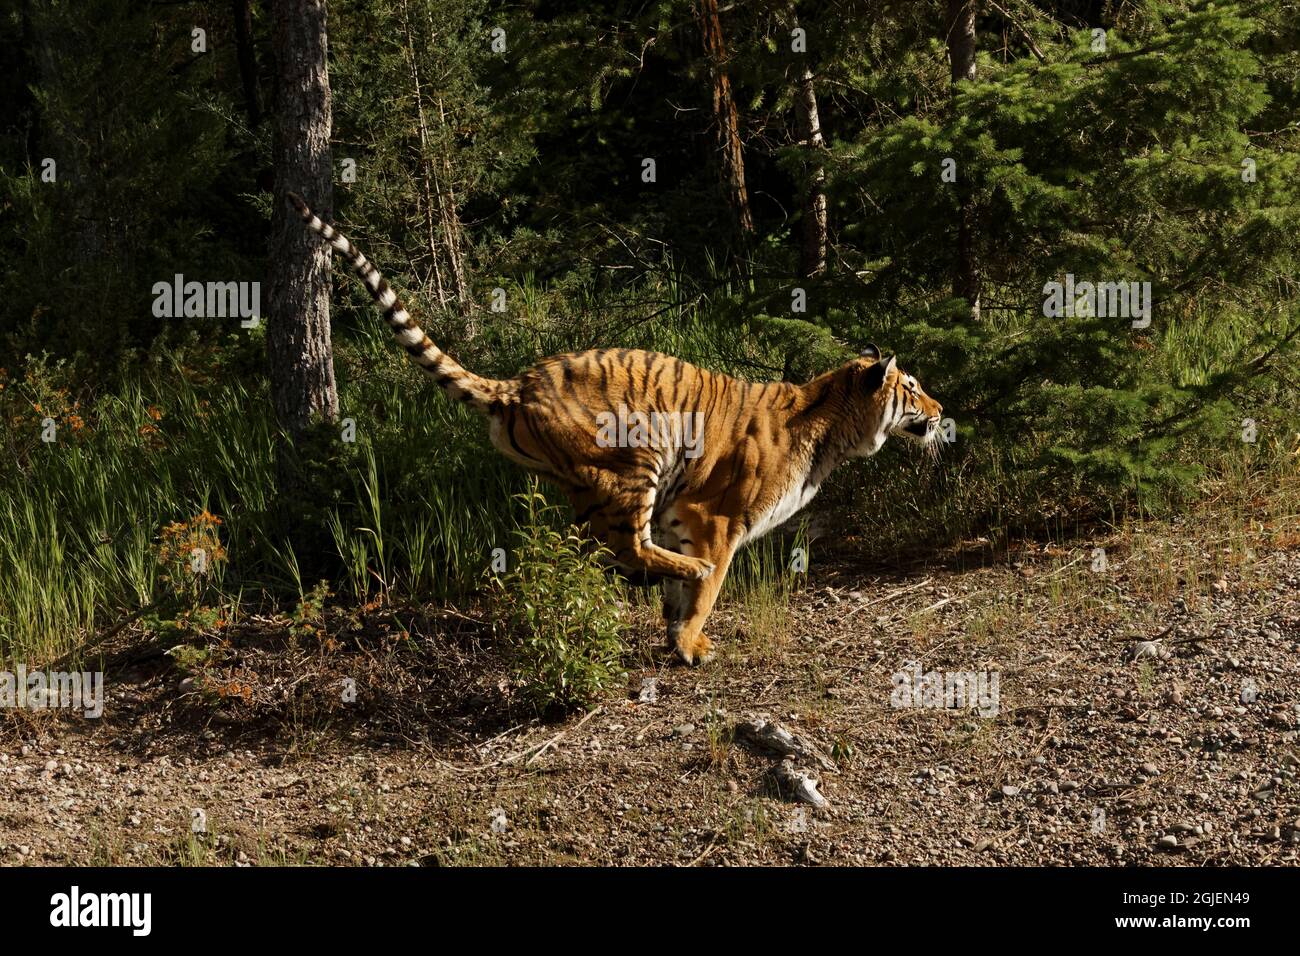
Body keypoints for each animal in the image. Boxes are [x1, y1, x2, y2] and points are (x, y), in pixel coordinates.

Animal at [288, 193, 944, 664]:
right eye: (911, 388)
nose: (942, 413)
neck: (831, 422)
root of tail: (518, 384)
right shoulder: (715, 518)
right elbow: (706, 590)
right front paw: (693, 641)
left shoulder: (684, 518)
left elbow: (682, 600)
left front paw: (678, 637)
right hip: (634, 460)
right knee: (623, 546)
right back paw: (672, 572)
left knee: (598, 547)